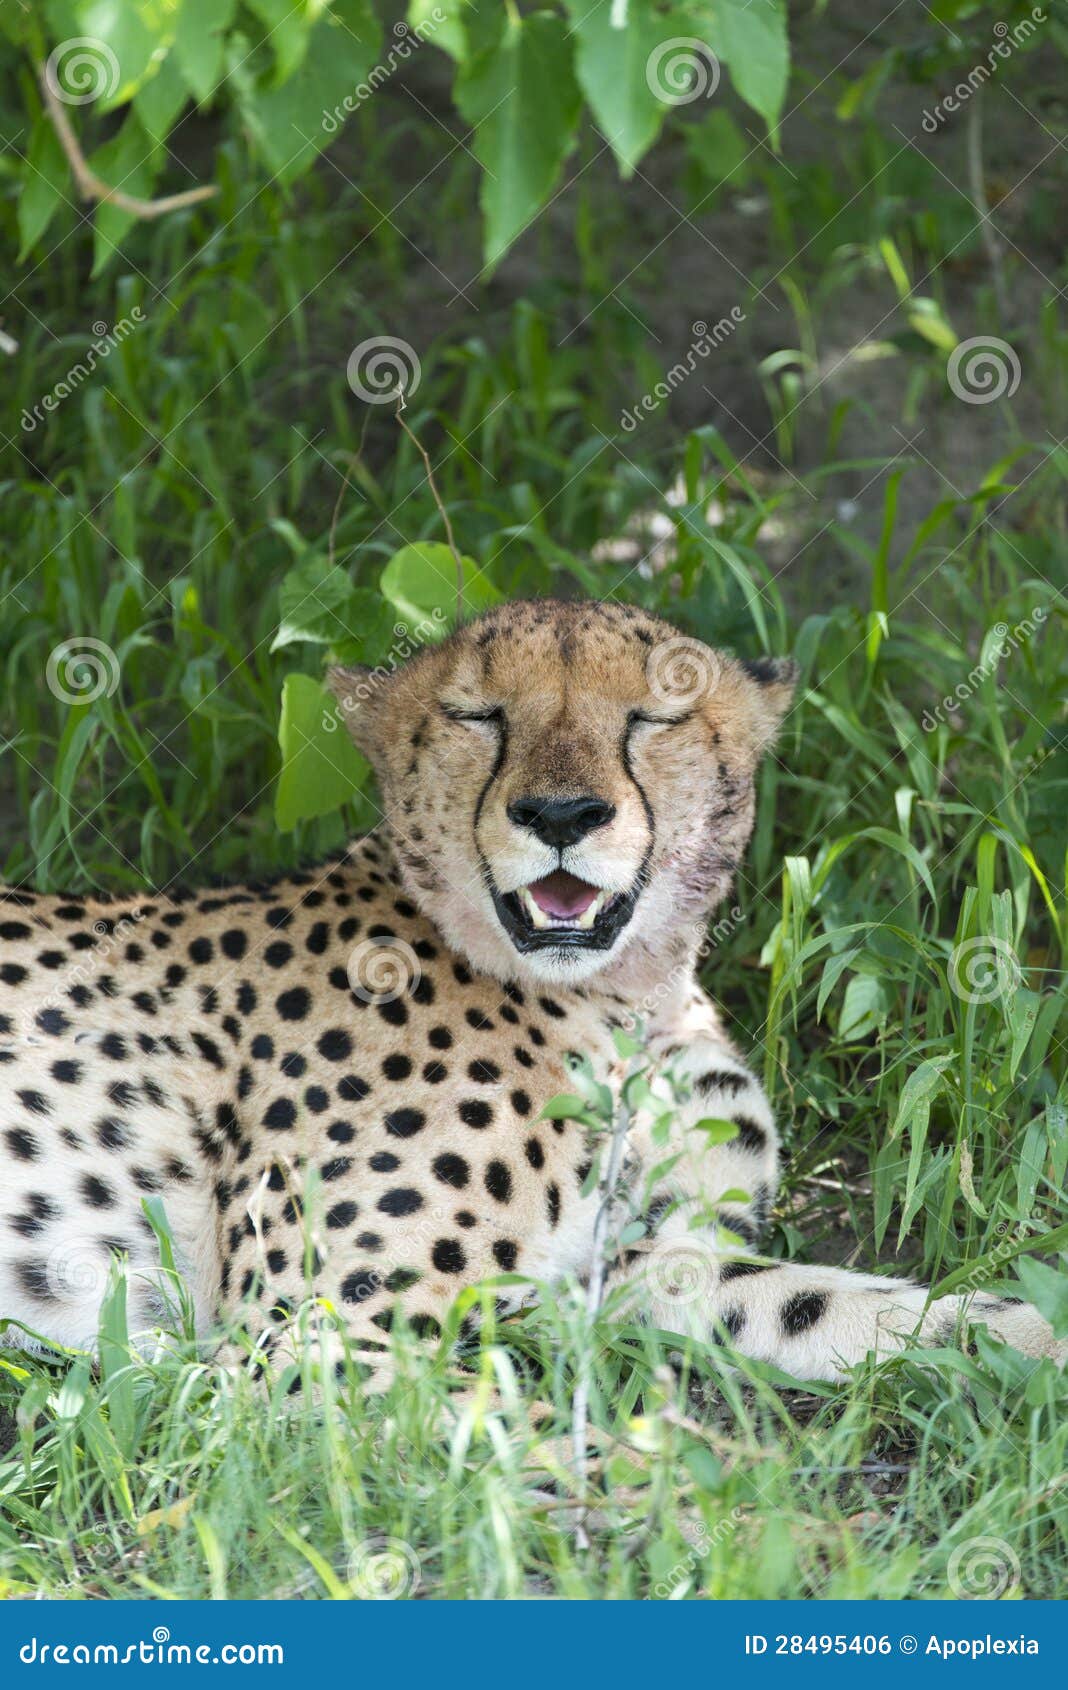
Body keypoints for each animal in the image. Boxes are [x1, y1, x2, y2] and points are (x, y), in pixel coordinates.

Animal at [1, 596, 1062, 1390]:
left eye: (651, 719)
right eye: (480, 718)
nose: (560, 814)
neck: (621, 1002)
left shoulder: (660, 1262)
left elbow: (861, 1305)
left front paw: (1034, 1342)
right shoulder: (317, 1336)